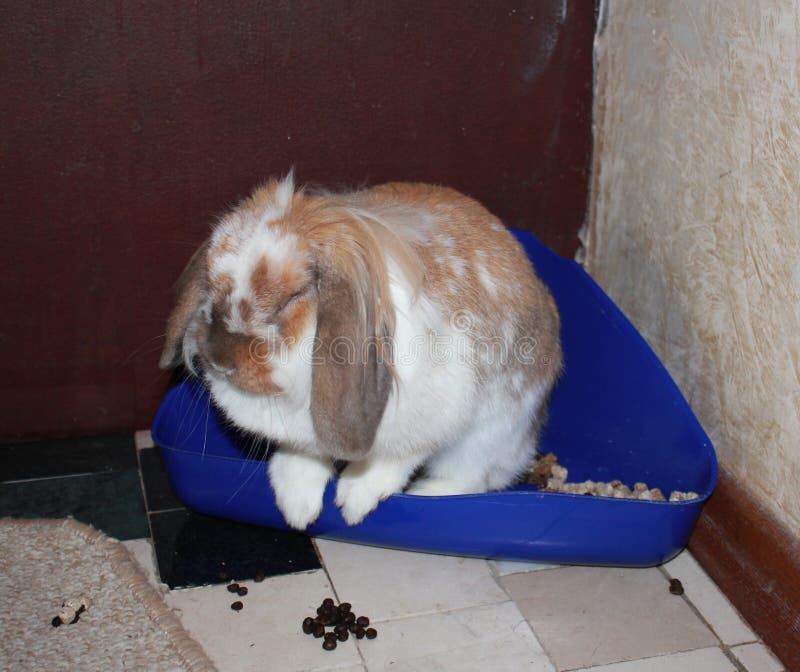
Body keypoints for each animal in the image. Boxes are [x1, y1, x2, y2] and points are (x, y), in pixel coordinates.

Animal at [159, 172, 562, 530]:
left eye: (291, 299)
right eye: (210, 287)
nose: (219, 358)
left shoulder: (435, 414)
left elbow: (394, 459)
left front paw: (353, 499)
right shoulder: (305, 434)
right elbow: (306, 455)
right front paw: (296, 504)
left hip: (489, 434)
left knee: (470, 479)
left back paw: (427, 494)